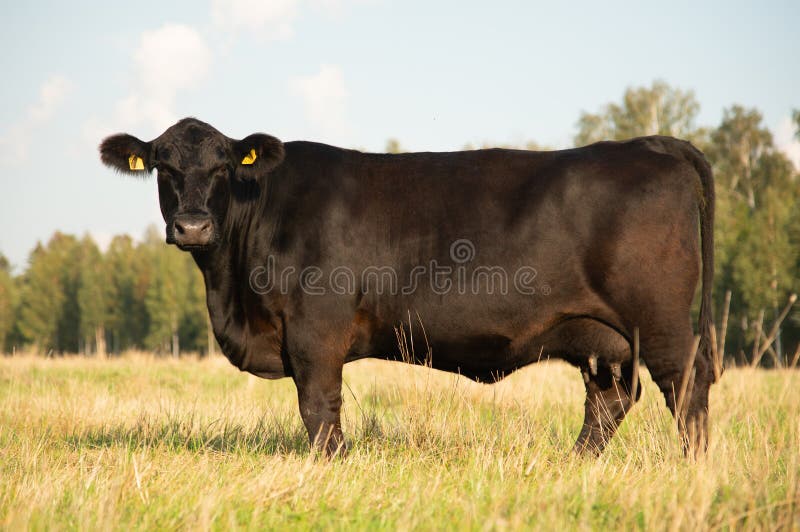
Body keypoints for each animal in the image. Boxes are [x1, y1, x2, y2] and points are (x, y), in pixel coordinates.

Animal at [100, 118, 720, 457]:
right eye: (161, 166)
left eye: (224, 166)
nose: (192, 226)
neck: (231, 291)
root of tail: (649, 144)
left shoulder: (315, 332)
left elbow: (319, 410)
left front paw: (333, 467)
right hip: (604, 336)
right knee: (609, 400)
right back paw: (570, 464)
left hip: (661, 322)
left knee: (686, 388)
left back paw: (694, 469)